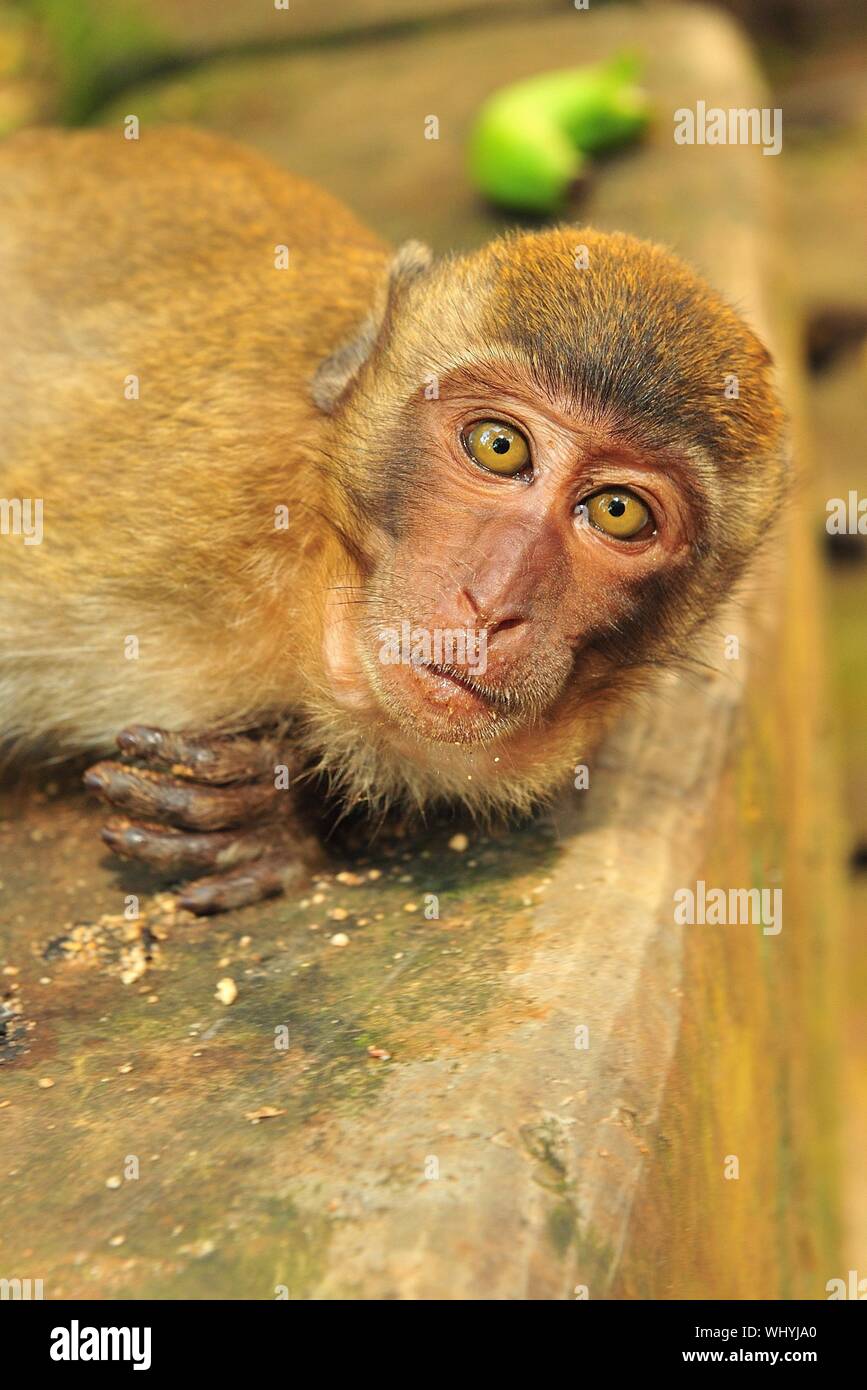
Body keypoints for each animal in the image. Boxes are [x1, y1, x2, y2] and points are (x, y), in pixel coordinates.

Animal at [0, 127, 786, 914]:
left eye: (618, 512)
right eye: (499, 446)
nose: (491, 604)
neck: (312, 564)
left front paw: (283, 806)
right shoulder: (171, 514)